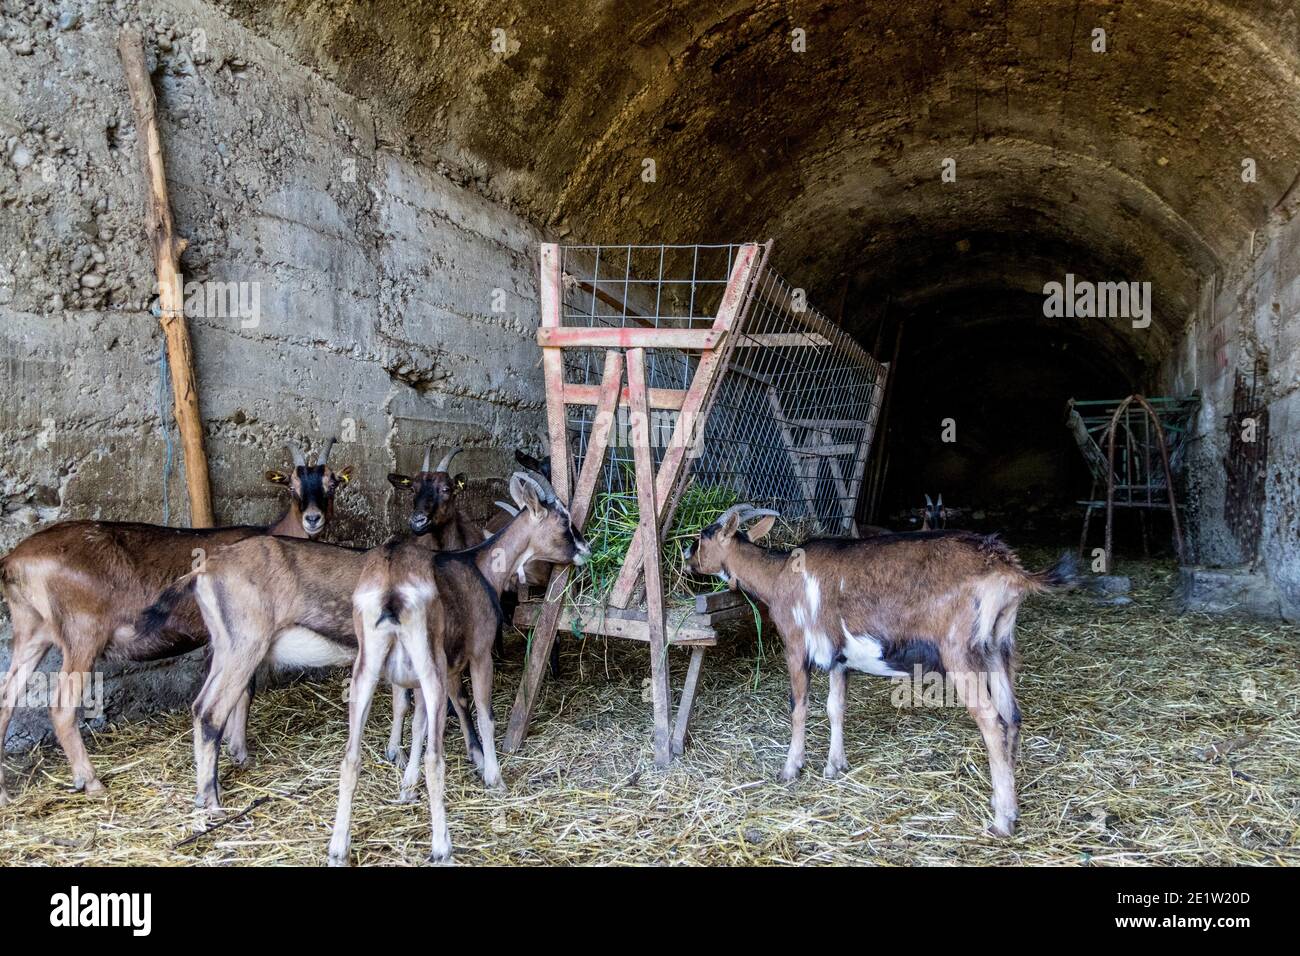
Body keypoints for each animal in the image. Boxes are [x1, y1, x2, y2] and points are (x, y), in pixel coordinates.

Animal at [0, 441, 349, 805]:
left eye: (332, 484)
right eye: (292, 486)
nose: (313, 518)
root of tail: (13, 561)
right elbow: (244, 692)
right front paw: (239, 753)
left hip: (31, 631)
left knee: (7, 699)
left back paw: (4, 793)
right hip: (82, 634)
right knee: (62, 706)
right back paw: (92, 782)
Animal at [328, 471, 590, 865]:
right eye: (563, 522)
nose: (586, 549)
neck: (480, 568)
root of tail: (391, 584)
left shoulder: (434, 673)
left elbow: (419, 725)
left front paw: (407, 786)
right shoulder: (478, 654)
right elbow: (483, 713)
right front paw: (493, 776)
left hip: (369, 669)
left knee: (350, 756)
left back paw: (338, 848)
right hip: (429, 668)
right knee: (436, 759)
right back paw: (442, 847)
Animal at [685, 504, 1076, 836]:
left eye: (704, 534)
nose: (687, 557)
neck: (778, 575)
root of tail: (1008, 569)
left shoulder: (796, 646)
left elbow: (799, 708)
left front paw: (790, 769)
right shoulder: (839, 657)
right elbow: (836, 708)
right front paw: (835, 766)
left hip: (961, 652)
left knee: (992, 722)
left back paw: (1001, 821)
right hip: (998, 646)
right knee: (1012, 715)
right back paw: (1007, 804)